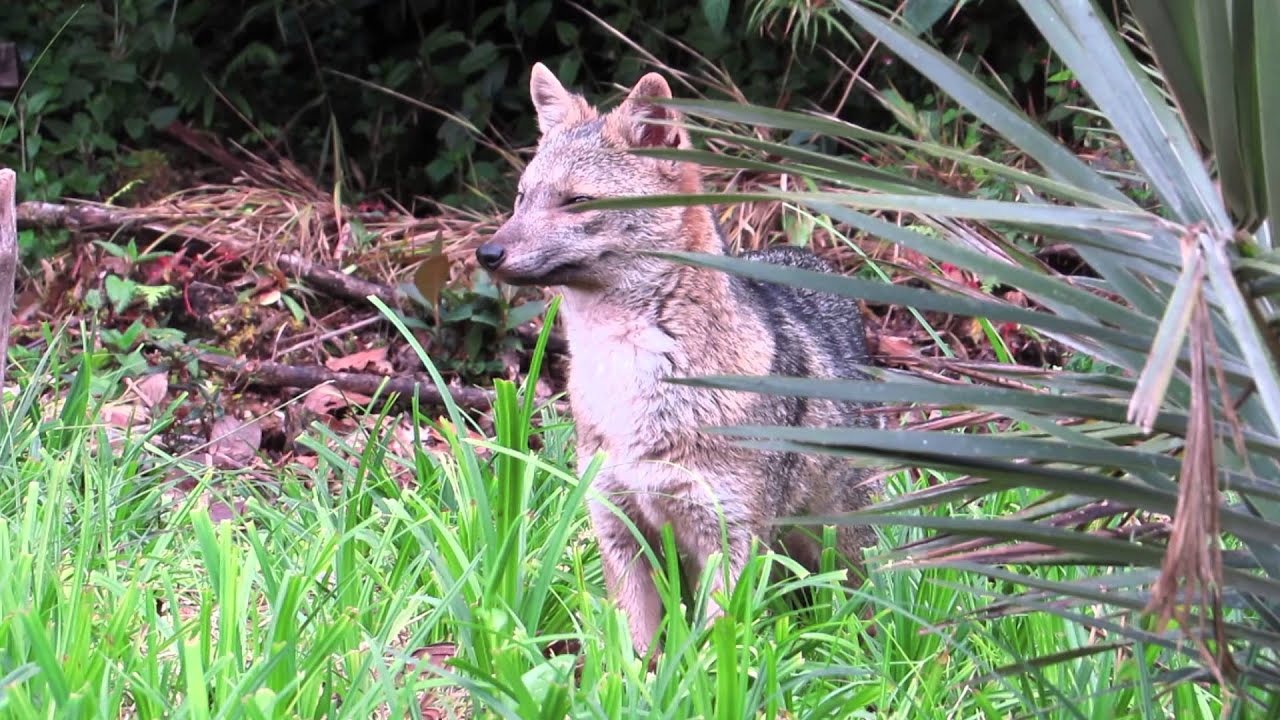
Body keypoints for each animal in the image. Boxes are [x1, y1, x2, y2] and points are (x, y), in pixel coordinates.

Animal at [475, 63, 881, 657]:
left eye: (576, 201)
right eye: (522, 198)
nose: (488, 254)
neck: (627, 386)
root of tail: (804, 256)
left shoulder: (729, 536)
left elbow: (714, 651)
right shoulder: (618, 526)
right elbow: (636, 654)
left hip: (844, 550)